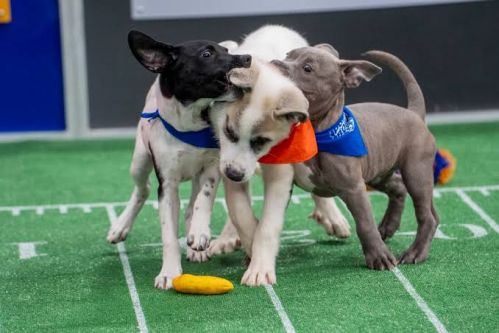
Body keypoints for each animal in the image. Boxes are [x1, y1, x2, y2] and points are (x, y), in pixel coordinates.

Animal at [107, 31, 252, 290]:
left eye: (226, 51)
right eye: (207, 54)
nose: (248, 58)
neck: (188, 123)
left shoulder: (211, 166)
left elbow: (203, 199)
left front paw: (200, 233)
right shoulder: (167, 185)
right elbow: (168, 235)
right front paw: (169, 272)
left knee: (190, 205)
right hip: (139, 160)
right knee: (142, 189)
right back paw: (120, 226)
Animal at [222, 46, 438, 286]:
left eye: (308, 68)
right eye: (289, 55)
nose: (274, 63)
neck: (314, 134)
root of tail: (413, 113)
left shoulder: (354, 189)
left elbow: (365, 223)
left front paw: (378, 256)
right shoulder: (288, 184)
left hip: (416, 173)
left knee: (426, 216)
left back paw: (415, 252)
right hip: (379, 173)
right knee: (401, 190)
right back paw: (388, 226)